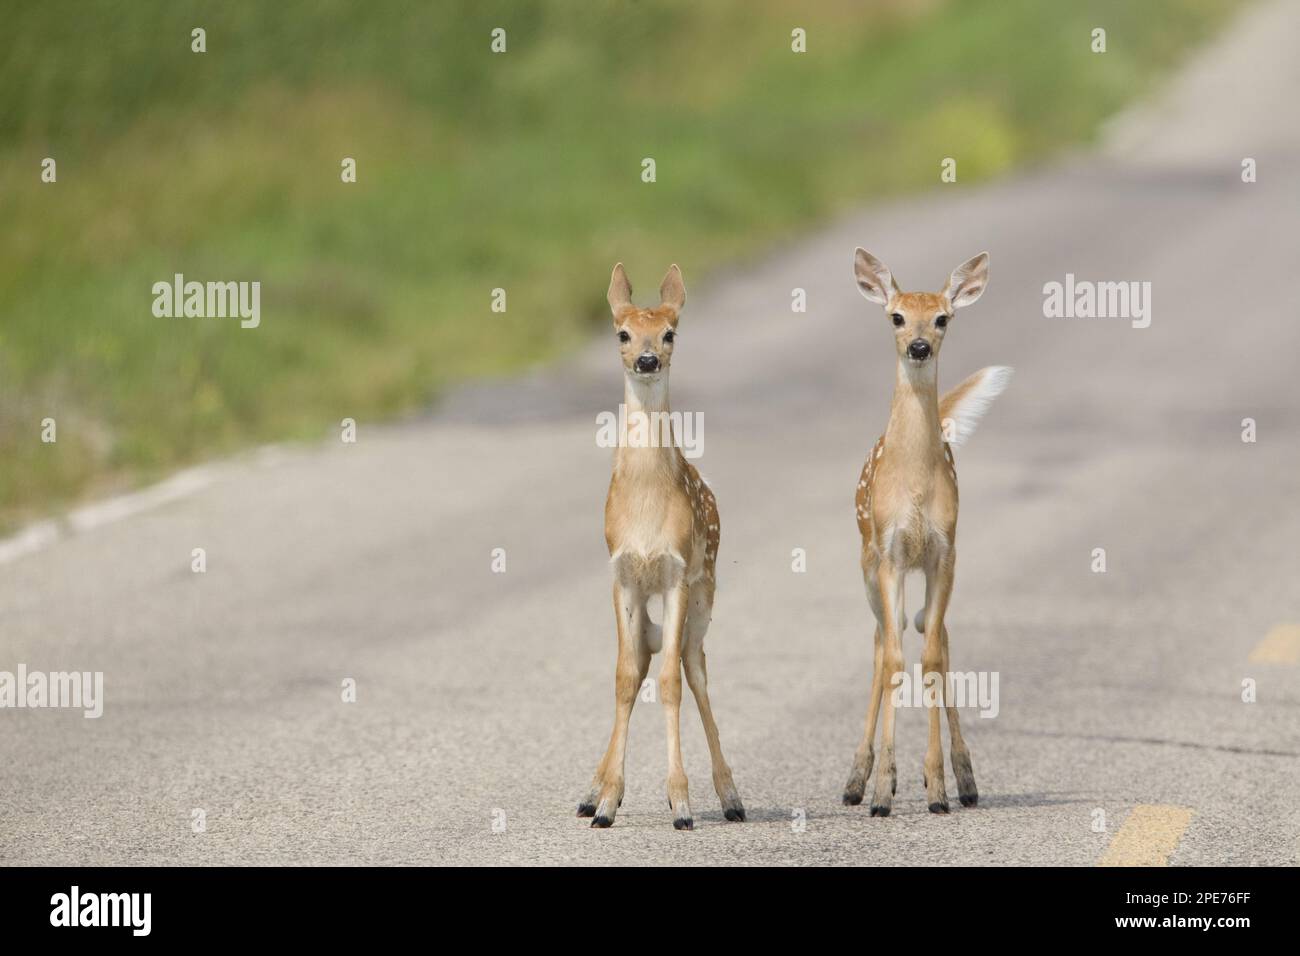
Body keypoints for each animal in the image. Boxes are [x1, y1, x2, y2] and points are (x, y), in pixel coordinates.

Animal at [576, 263, 745, 831]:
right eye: (622, 333)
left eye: (670, 333)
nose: (647, 359)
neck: (647, 507)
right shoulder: (623, 576)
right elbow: (626, 677)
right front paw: (606, 802)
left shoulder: (676, 574)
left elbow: (671, 681)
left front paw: (681, 804)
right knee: (644, 659)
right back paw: (590, 791)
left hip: (705, 588)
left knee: (693, 667)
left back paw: (730, 796)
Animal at [842, 248, 1012, 817]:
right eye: (896, 317)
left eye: (942, 318)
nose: (918, 346)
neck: (914, 482)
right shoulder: (891, 552)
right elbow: (895, 658)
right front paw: (882, 791)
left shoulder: (944, 551)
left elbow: (933, 654)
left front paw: (938, 785)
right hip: (867, 562)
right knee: (881, 641)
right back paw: (856, 779)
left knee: (936, 637)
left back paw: (966, 779)